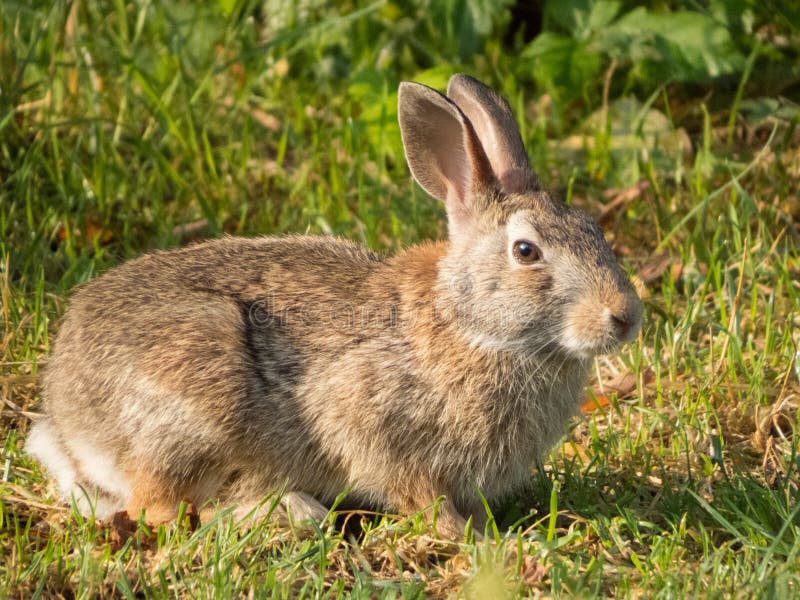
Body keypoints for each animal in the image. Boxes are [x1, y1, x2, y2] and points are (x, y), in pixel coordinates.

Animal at [26, 74, 642, 538]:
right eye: (525, 251)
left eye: (594, 228)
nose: (625, 317)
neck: (470, 324)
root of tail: (67, 424)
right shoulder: (371, 420)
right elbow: (416, 493)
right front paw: (472, 538)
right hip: (198, 397)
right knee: (164, 511)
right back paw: (292, 511)